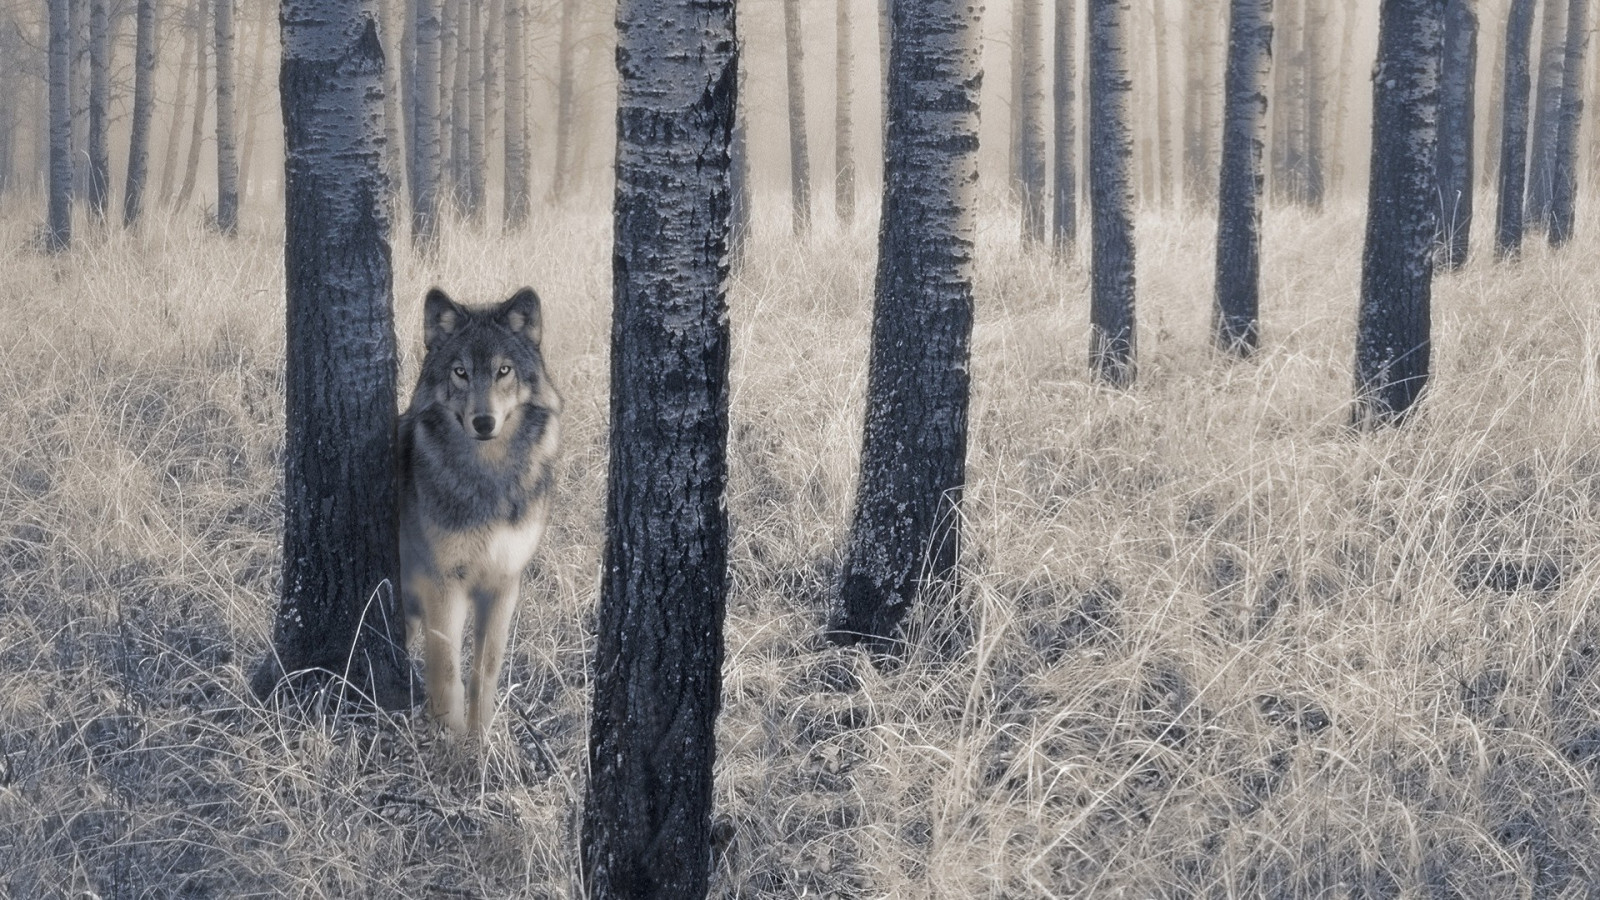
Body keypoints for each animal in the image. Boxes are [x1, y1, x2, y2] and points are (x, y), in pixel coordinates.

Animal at [399, 287, 562, 736]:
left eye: (503, 370)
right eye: (460, 372)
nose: (484, 422)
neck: (488, 477)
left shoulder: (504, 583)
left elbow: (485, 672)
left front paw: (481, 738)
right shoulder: (443, 584)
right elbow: (447, 674)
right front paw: (451, 743)